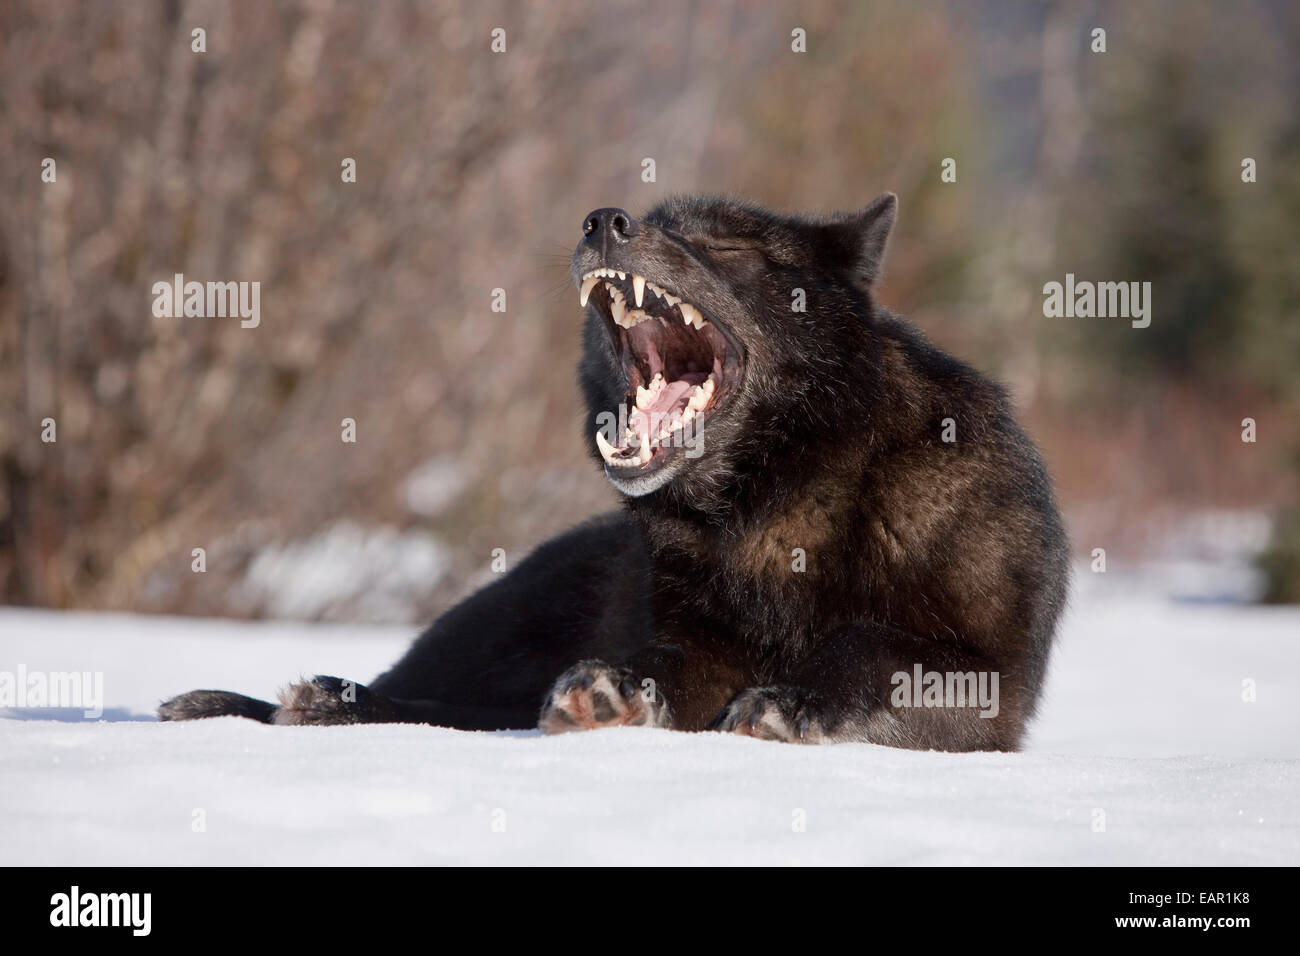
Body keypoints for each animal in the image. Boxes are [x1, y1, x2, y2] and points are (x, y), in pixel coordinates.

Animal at [159, 194, 1069, 750]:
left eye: (725, 244)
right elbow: (660, 661)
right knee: (437, 701)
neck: (775, 507)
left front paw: (792, 701)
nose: (603, 218)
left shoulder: (988, 677)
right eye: (655, 219)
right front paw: (618, 690)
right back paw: (317, 703)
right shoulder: (693, 644)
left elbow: (866, 644)